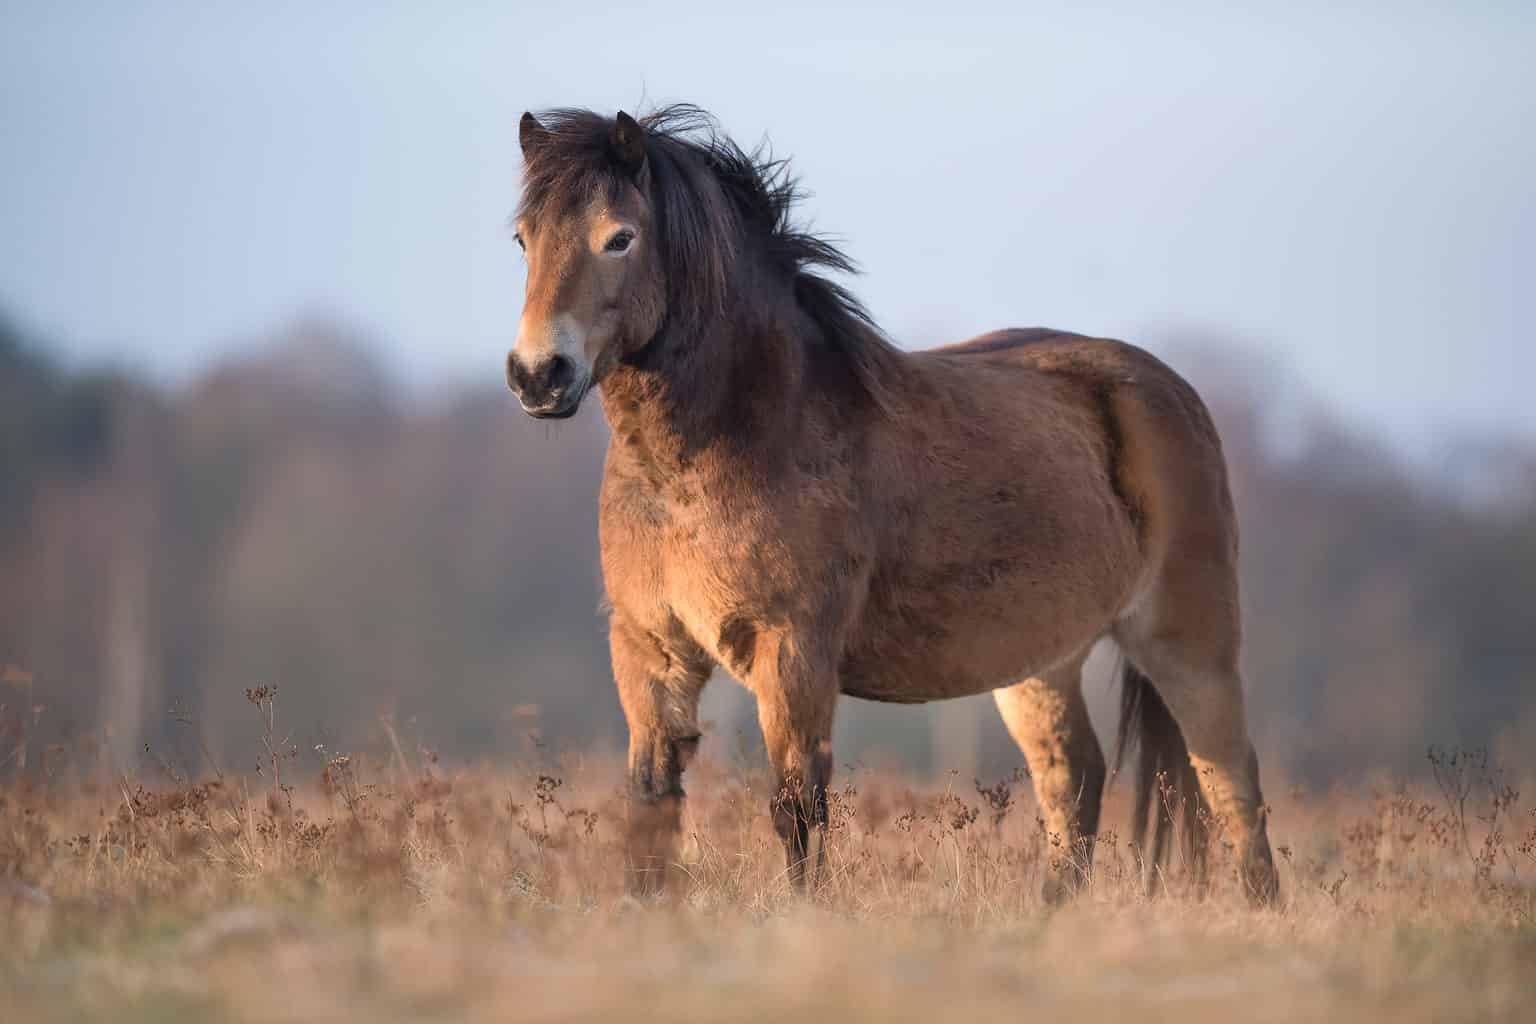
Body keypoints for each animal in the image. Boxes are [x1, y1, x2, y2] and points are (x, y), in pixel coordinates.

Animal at [505, 105, 1279, 904]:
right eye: (524, 239)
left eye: (620, 237)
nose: (538, 374)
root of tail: (1166, 388)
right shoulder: (649, 648)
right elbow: (651, 802)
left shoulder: (794, 651)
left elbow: (797, 806)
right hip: (1040, 661)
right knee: (1076, 778)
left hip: (1187, 637)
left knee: (1231, 782)